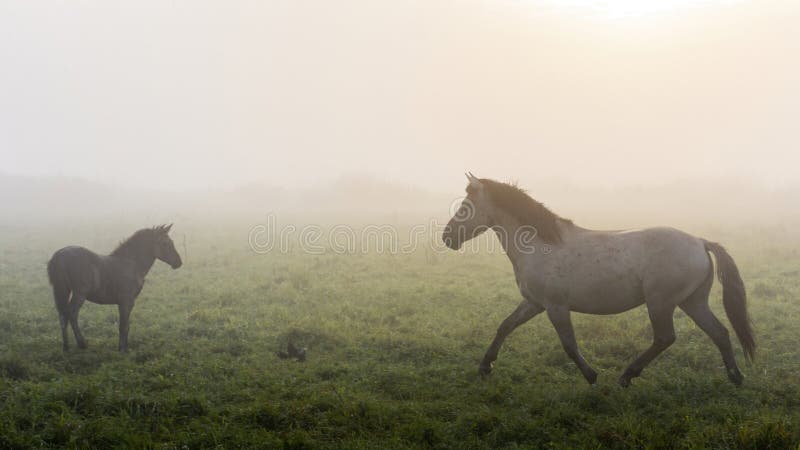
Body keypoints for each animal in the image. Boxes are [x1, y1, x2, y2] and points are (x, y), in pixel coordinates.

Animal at [47, 224, 182, 352]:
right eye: (165, 243)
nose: (178, 262)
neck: (131, 263)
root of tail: (59, 256)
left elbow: (125, 325)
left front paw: (122, 347)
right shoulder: (127, 301)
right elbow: (124, 326)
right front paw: (123, 350)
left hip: (63, 290)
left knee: (63, 315)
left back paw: (66, 347)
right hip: (79, 293)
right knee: (72, 313)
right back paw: (82, 344)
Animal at [442, 173, 754, 387]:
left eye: (466, 206)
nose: (447, 237)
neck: (541, 246)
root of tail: (700, 242)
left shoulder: (555, 307)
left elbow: (569, 344)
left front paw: (591, 375)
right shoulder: (534, 303)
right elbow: (505, 326)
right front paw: (485, 367)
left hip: (661, 303)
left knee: (666, 337)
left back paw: (627, 376)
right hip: (692, 302)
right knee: (719, 333)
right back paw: (735, 377)